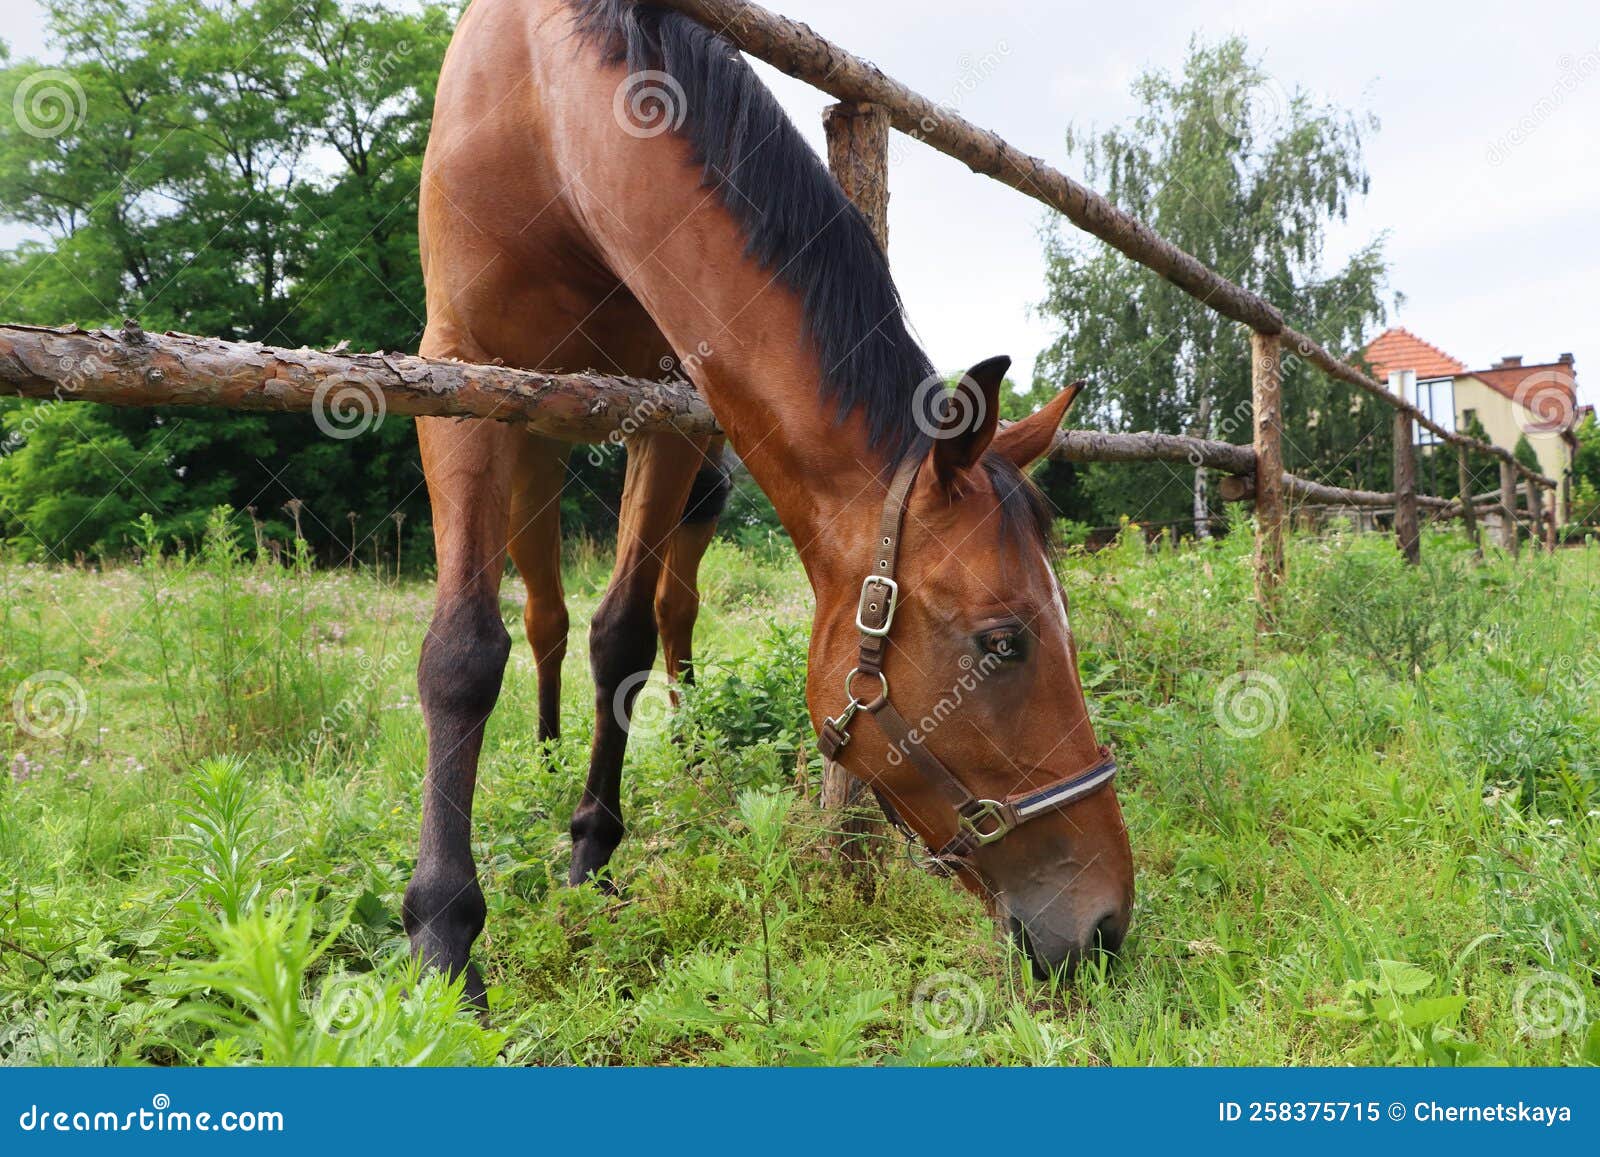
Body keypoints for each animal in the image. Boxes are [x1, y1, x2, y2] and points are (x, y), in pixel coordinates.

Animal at [407, 0, 1134, 1004]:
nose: (1106, 923)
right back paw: (548, 755)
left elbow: (624, 633)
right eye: (1002, 642)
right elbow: (464, 654)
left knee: (655, 608)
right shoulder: (456, 373)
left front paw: (592, 855)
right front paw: (443, 936)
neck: (545, 112)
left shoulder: (670, 405)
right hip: (528, 443)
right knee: (542, 614)